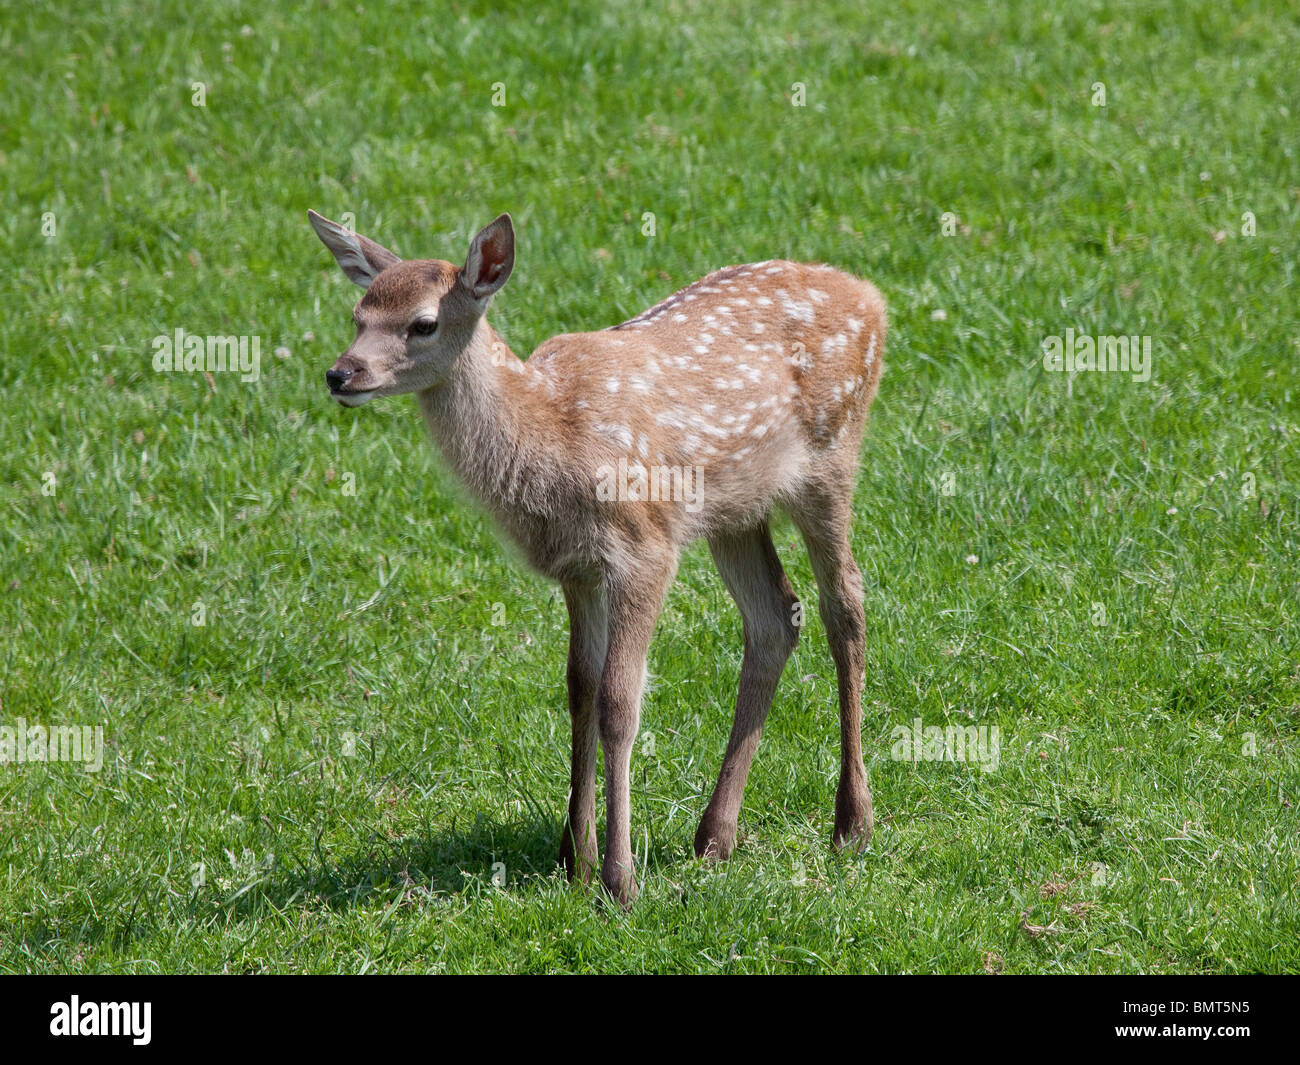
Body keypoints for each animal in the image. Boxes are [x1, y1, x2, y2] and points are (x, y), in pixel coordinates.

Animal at [307, 209, 887, 905]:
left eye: (423, 322)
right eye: (357, 315)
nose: (341, 375)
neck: (551, 436)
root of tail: (871, 298)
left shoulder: (643, 546)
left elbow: (619, 701)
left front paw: (619, 877)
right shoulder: (577, 567)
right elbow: (579, 688)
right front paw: (573, 857)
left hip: (832, 454)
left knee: (845, 601)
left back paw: (852, 822)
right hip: (735, 510)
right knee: (777, 615)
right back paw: (714, 837)